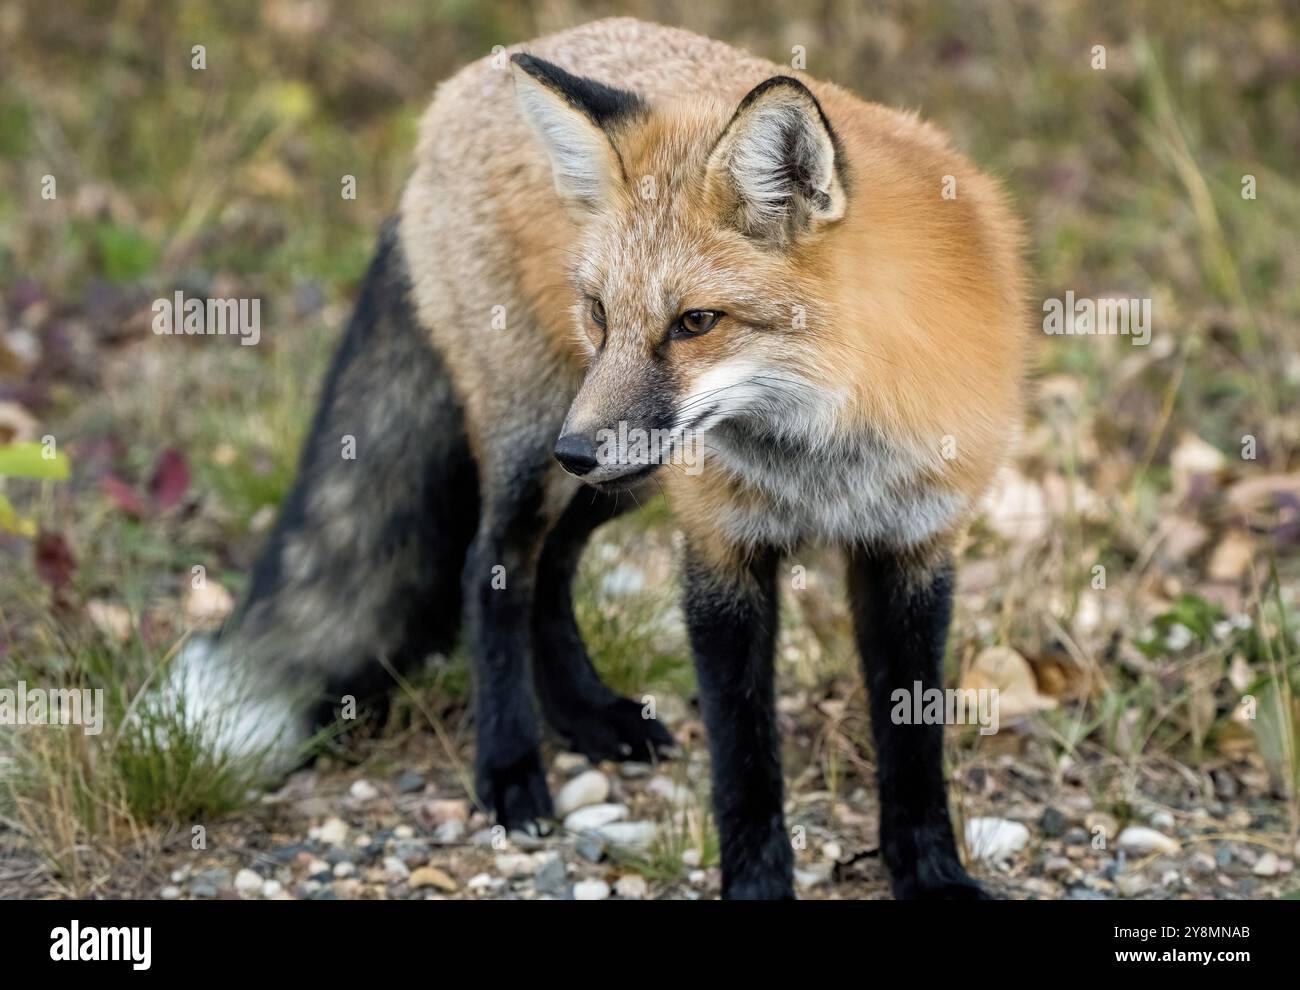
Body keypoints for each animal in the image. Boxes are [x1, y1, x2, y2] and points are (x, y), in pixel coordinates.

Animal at [166, 18, 1027, 900]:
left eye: (695, 322)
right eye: (601, 313)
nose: (574, 449)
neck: (825, 450)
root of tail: (455, 94)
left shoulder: (914, 544)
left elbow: (912, 747)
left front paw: (931, 873)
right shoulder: (719, 550)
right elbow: (744, 762)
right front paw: (757, 883)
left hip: (619, 478)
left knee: (551, 567)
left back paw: (583, 715)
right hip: (542, 451)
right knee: (492, 568)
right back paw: (511, 766)